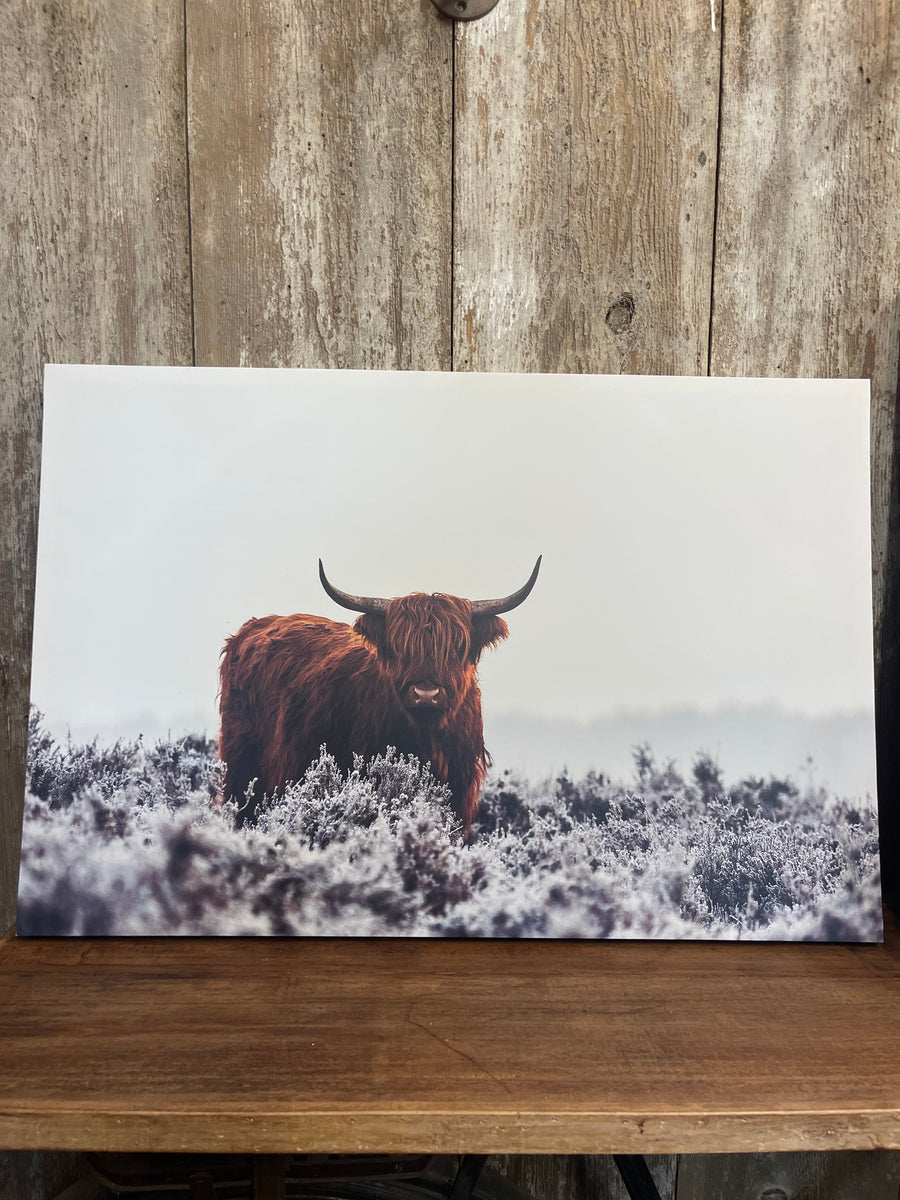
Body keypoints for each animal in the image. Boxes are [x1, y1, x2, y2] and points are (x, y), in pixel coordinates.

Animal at [218, 557, 541, 830]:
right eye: (400, 646)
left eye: (457, 647)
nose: (426, 693)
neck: (426, 737)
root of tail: (252, 628)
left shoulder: (460, 790)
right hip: (241, 765)